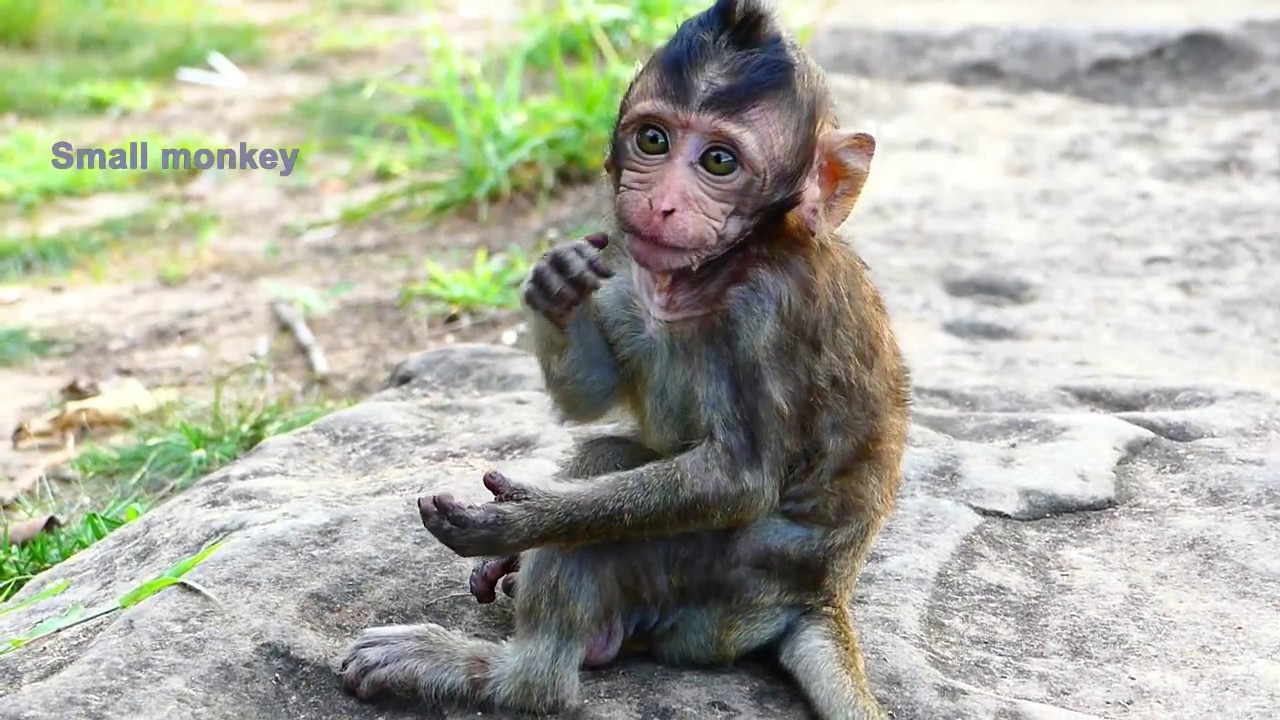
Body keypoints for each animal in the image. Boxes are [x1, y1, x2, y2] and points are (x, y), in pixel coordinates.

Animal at [338, 1, 910, 719]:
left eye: (719, 161)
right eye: (654, 141)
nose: (660, 202)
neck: (708, 275)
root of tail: (823, 595)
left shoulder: (773, 309)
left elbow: (739, 479)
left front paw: (519, 521)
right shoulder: (622, 258)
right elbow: (591, 394)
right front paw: (555, 282)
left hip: (723, 589)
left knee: (596, 549)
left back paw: (498, 672)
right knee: (606, 455)